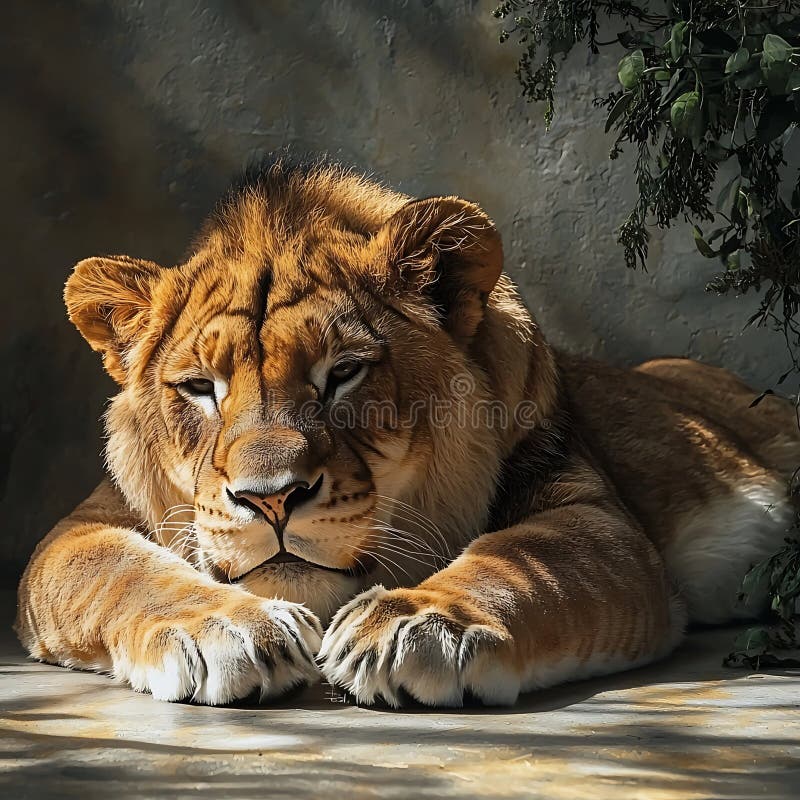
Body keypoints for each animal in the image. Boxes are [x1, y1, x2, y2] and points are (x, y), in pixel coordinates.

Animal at [15, 157, 799, 707]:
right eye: (200, 388)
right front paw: (226, 630)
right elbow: (119, 573)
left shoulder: (591, 512)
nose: (270, 499)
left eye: (344, 373)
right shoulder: (83, 526)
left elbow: (523, 560)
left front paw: (414, 625)